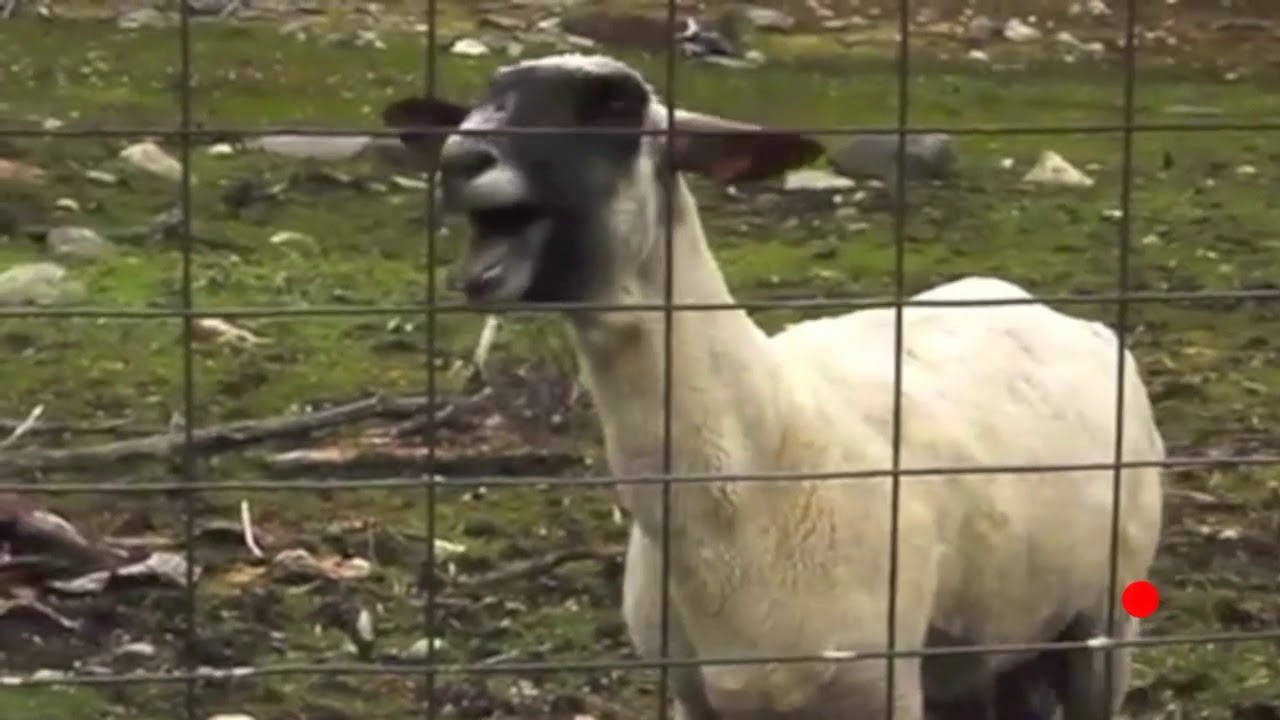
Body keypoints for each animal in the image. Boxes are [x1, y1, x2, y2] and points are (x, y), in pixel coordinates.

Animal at [383, 53, 1165, 720]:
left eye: (615, 106)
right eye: (485, 97)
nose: (460, 159)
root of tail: (1035, 303)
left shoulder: (880, 685)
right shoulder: (695, 695)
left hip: (1103, 619)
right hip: (989, 642)